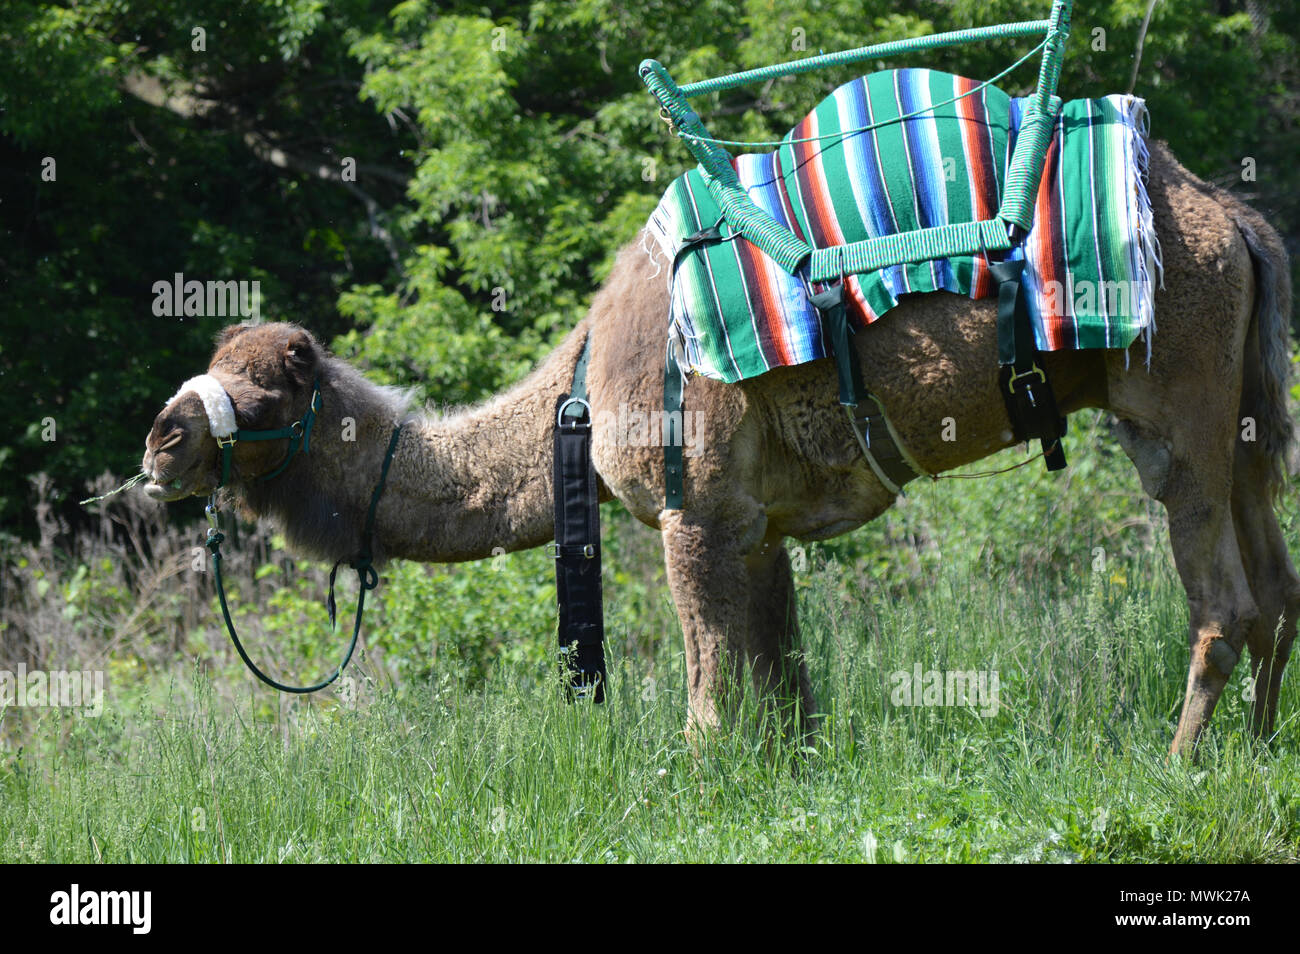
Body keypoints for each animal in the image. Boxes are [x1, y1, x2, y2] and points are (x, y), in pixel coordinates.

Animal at [142, 141, 1297, 757]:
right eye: (214, 359)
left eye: (270, 380)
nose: (161, 440)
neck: (579, 386)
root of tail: (1231, 219)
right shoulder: (758, 524)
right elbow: (786, 683)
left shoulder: (691, 508)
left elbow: (708, 698)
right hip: (1239, 412)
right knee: (1277, 590)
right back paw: (1251, 752)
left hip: (1174, 401)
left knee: (1223, 602)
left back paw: (1178, 764)